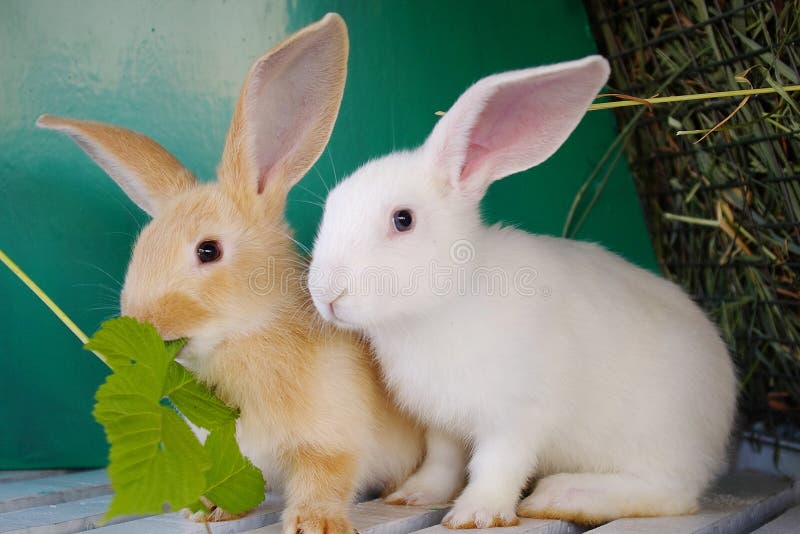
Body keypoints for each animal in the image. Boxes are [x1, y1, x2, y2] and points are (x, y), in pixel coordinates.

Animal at [37, 13, 426, 534]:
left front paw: (314, 523)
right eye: (141, 247)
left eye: (208, 250)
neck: (248, 334)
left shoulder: (331, 441)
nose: (144, 321)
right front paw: (208, 511)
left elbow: (323, 478)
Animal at [307, 55, 738, 528]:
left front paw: (475, 514)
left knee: (673, 494)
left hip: (655, 438)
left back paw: (562, 495)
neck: (445, 305)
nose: (325, 293)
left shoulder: (516, 417)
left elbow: (497, 466)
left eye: (403, 219)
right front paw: (415, 495)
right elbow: (442, 461)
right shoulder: (444, 422)